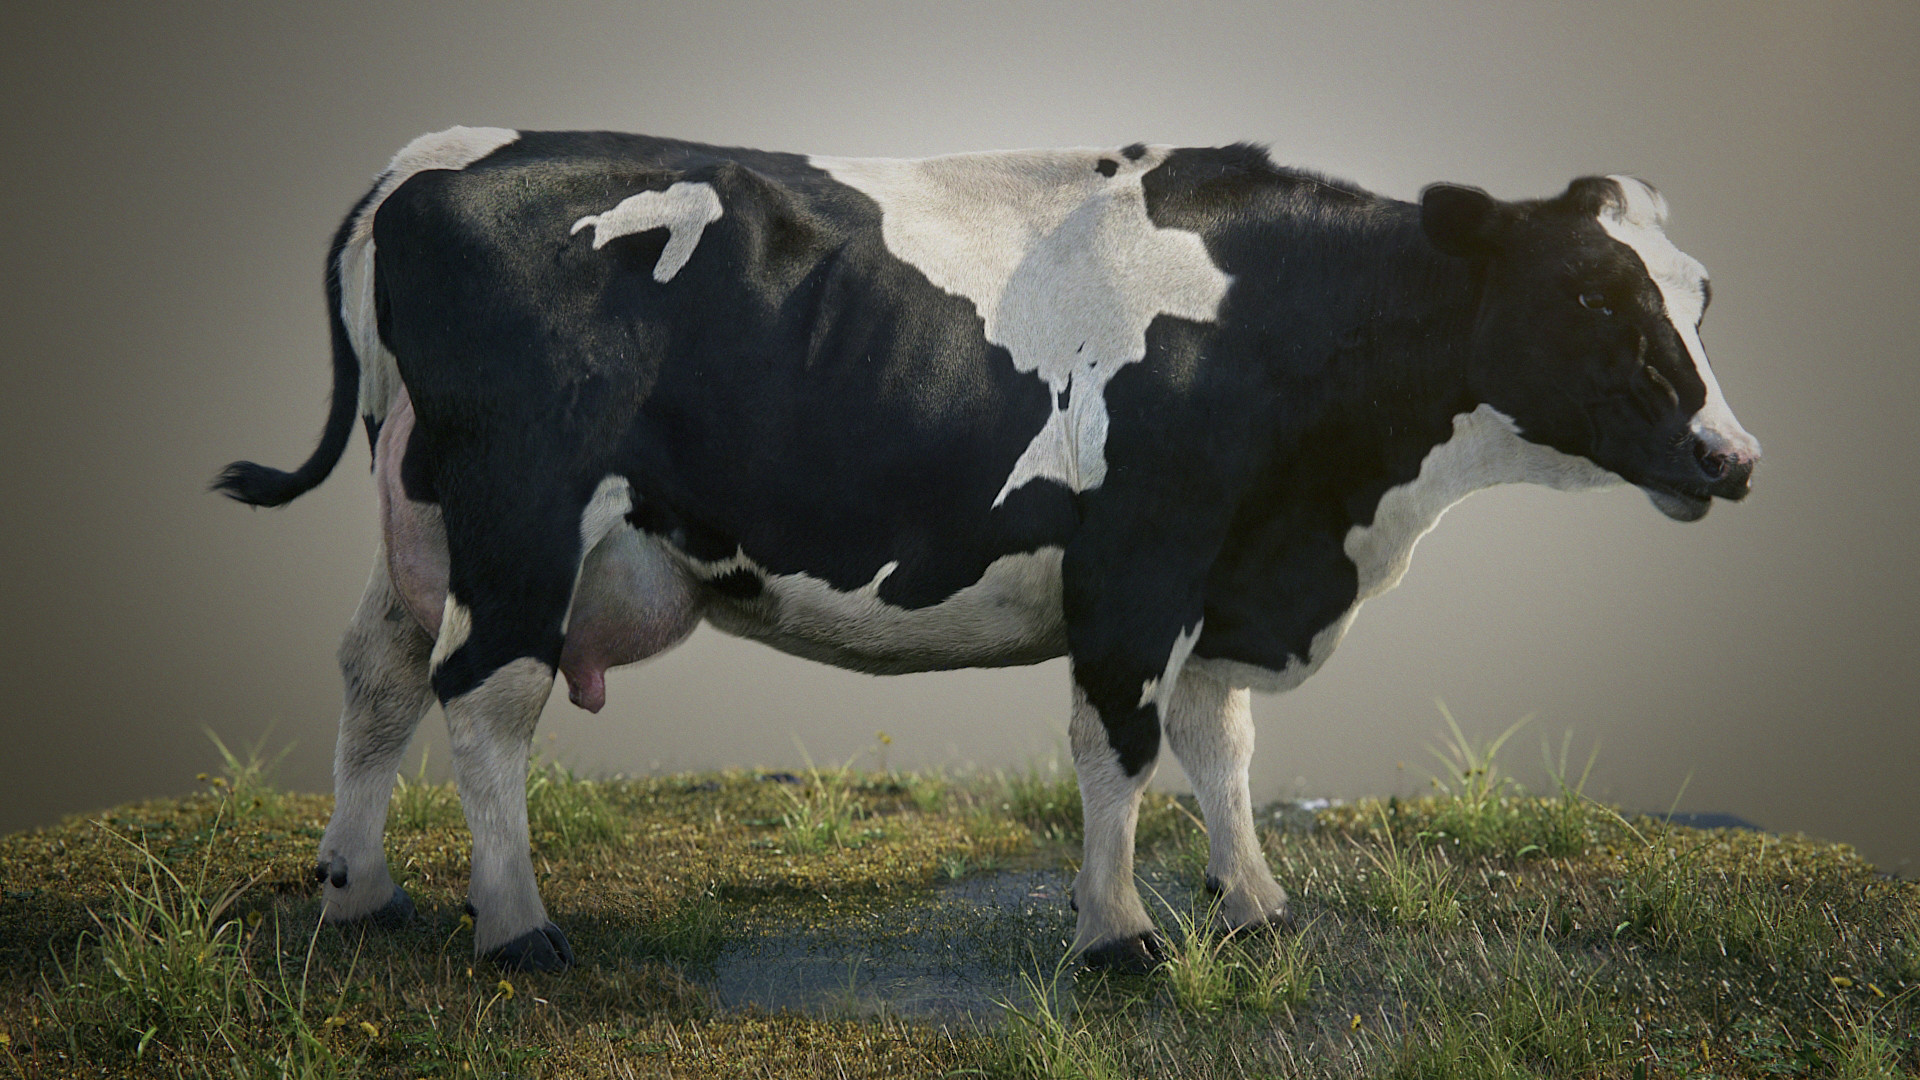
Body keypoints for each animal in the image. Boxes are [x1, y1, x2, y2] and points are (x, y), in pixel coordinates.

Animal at [217, 127, 1759, 973]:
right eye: (1590, 295)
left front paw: (1255, 904)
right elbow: (1119, 744)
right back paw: (517, 926)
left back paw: (363, 893)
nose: (1733, 460)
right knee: (488, 699)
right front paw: (1118, 934)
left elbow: (1219, 740)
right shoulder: (1139, 553)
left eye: (1698, 295)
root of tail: (443, 153)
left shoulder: (1233, 566)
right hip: (524, 510)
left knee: (379, 668)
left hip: (422, 512)